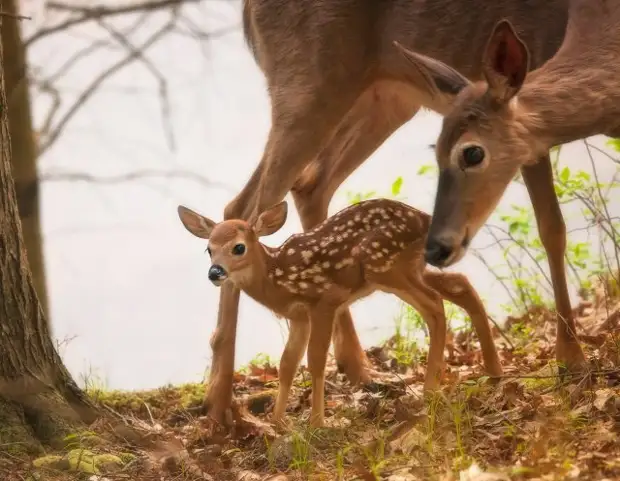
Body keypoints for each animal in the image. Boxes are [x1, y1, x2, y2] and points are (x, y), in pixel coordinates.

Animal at [205, 0, 572, 422]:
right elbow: (551, 227)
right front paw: (570, 359)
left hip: (386, 96)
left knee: (310, 186)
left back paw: (367, 371)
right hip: (311, 86)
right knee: (246, 204)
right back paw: (220, 404)